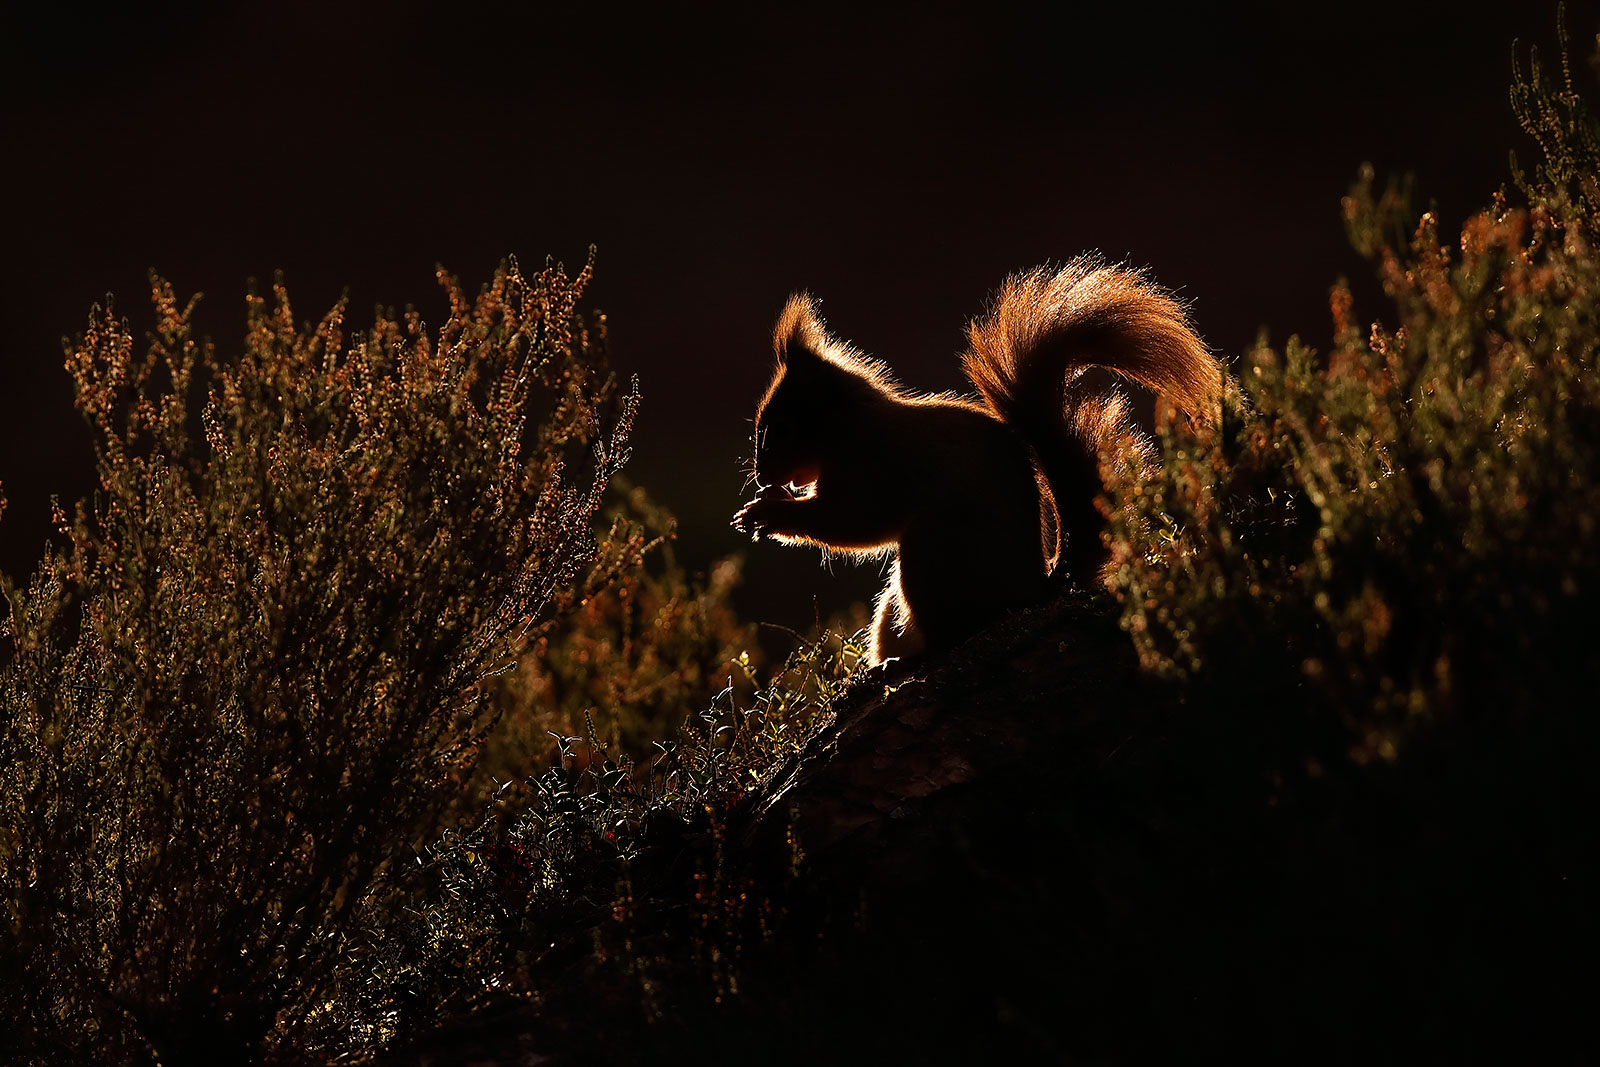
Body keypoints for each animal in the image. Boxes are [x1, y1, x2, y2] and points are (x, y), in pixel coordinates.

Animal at [732, 256, 1222, 666]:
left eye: (775, 430)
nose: (760, 474)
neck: (849, 428)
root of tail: (1031, 591)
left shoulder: (877, 466)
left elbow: (853, 523)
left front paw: (766, 512)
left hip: (933, 550)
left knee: (952, 634)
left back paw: (904, 663)